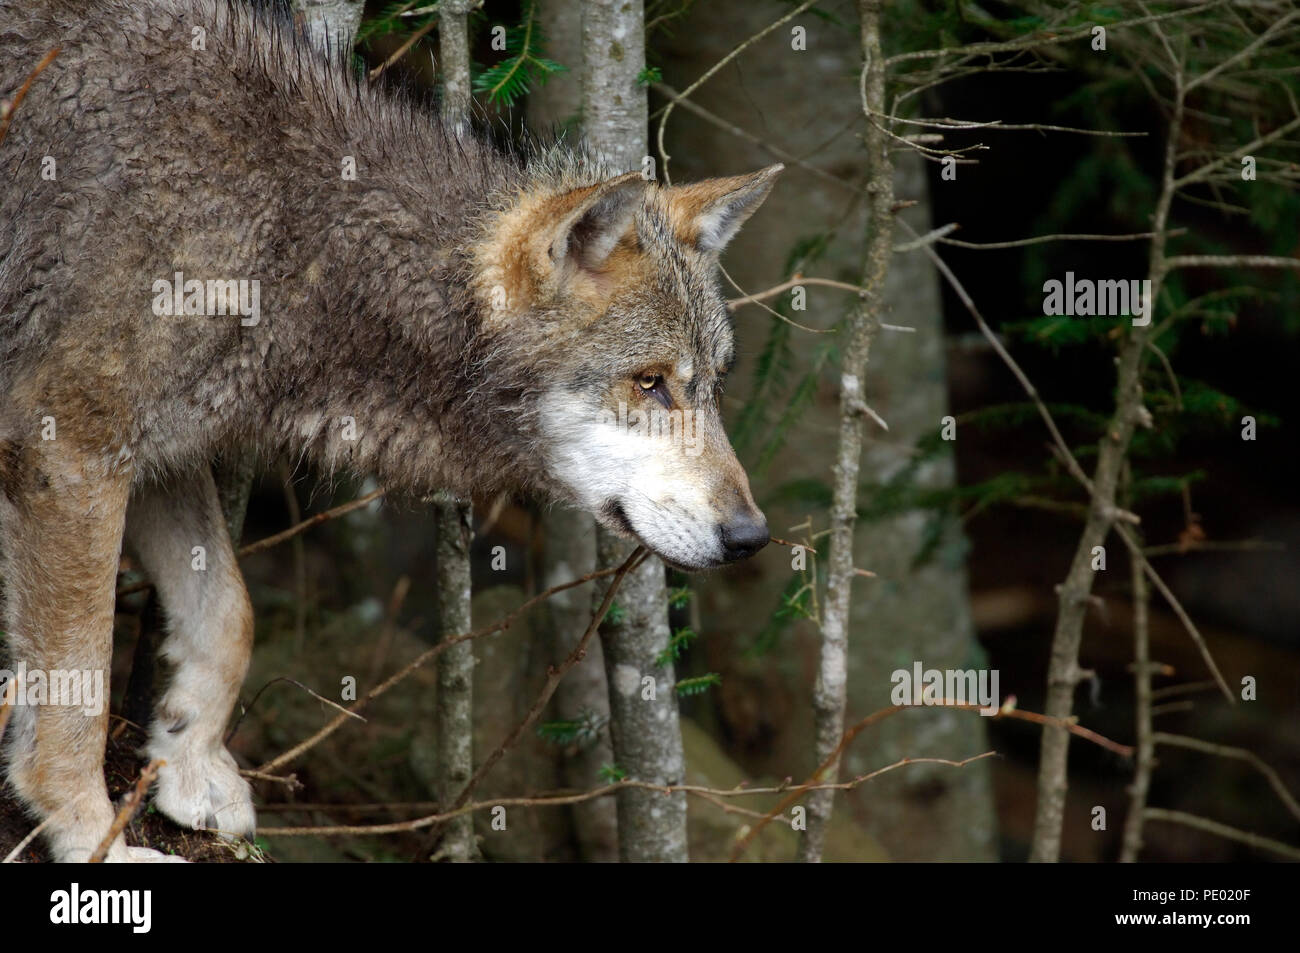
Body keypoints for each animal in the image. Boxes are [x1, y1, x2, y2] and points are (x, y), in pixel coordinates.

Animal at [0, 0, 777, 862]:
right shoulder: (69, 447)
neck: (296, 233)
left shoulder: (159, 453)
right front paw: (86, 833)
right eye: (648, 382)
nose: (752, 536)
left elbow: (231, 612)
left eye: (713, 382)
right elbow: (74, 689)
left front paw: (189, 760)